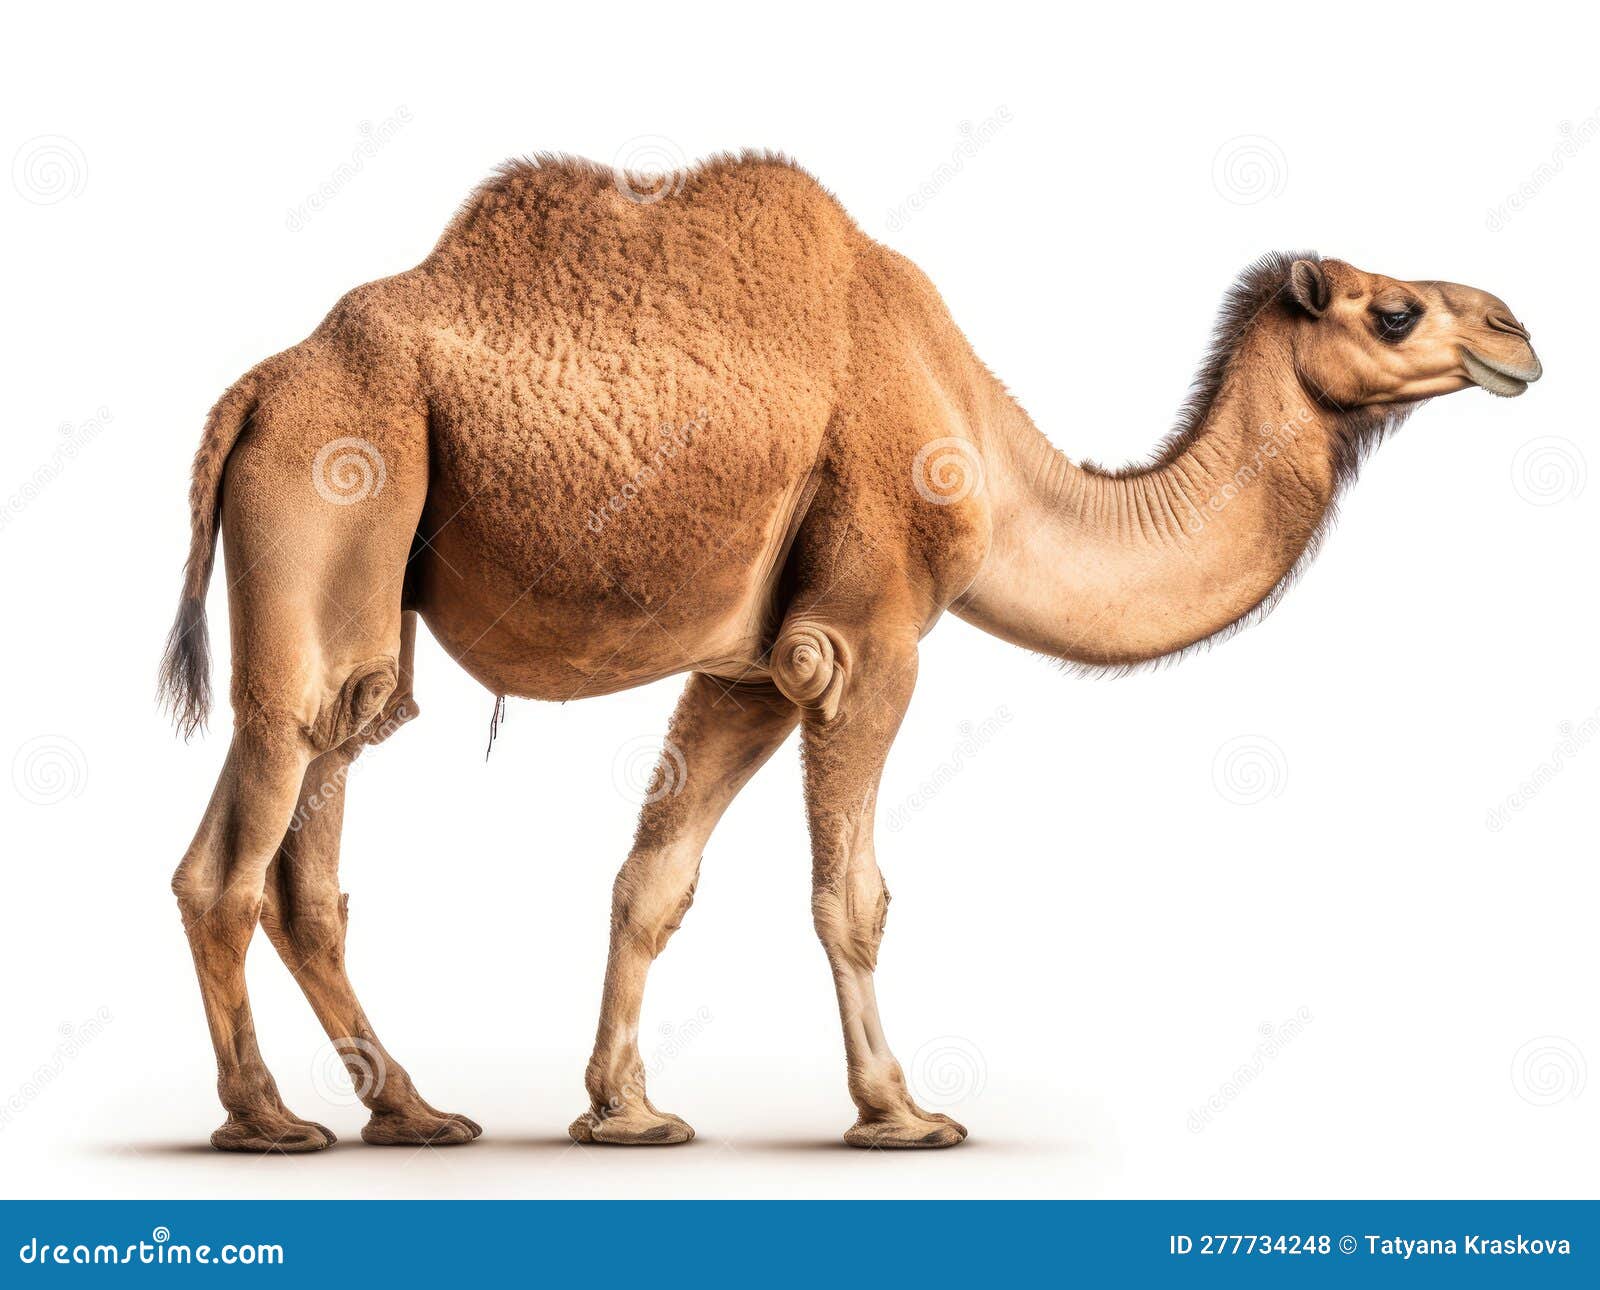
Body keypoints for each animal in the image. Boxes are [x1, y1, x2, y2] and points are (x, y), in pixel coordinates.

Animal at [159, 152, 1542, 1153]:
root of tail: (251, 393)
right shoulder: (867, 636)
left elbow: (651, 881)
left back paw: (411, 1114)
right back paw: (267, 1122)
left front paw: (626, 1112)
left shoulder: (753, 665)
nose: (1517, 330)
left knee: (317, 823)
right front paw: (901, 1112)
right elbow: (853, 895)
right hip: (334, 484)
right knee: (233, 849)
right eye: (1395, 308)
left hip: (364, 598)